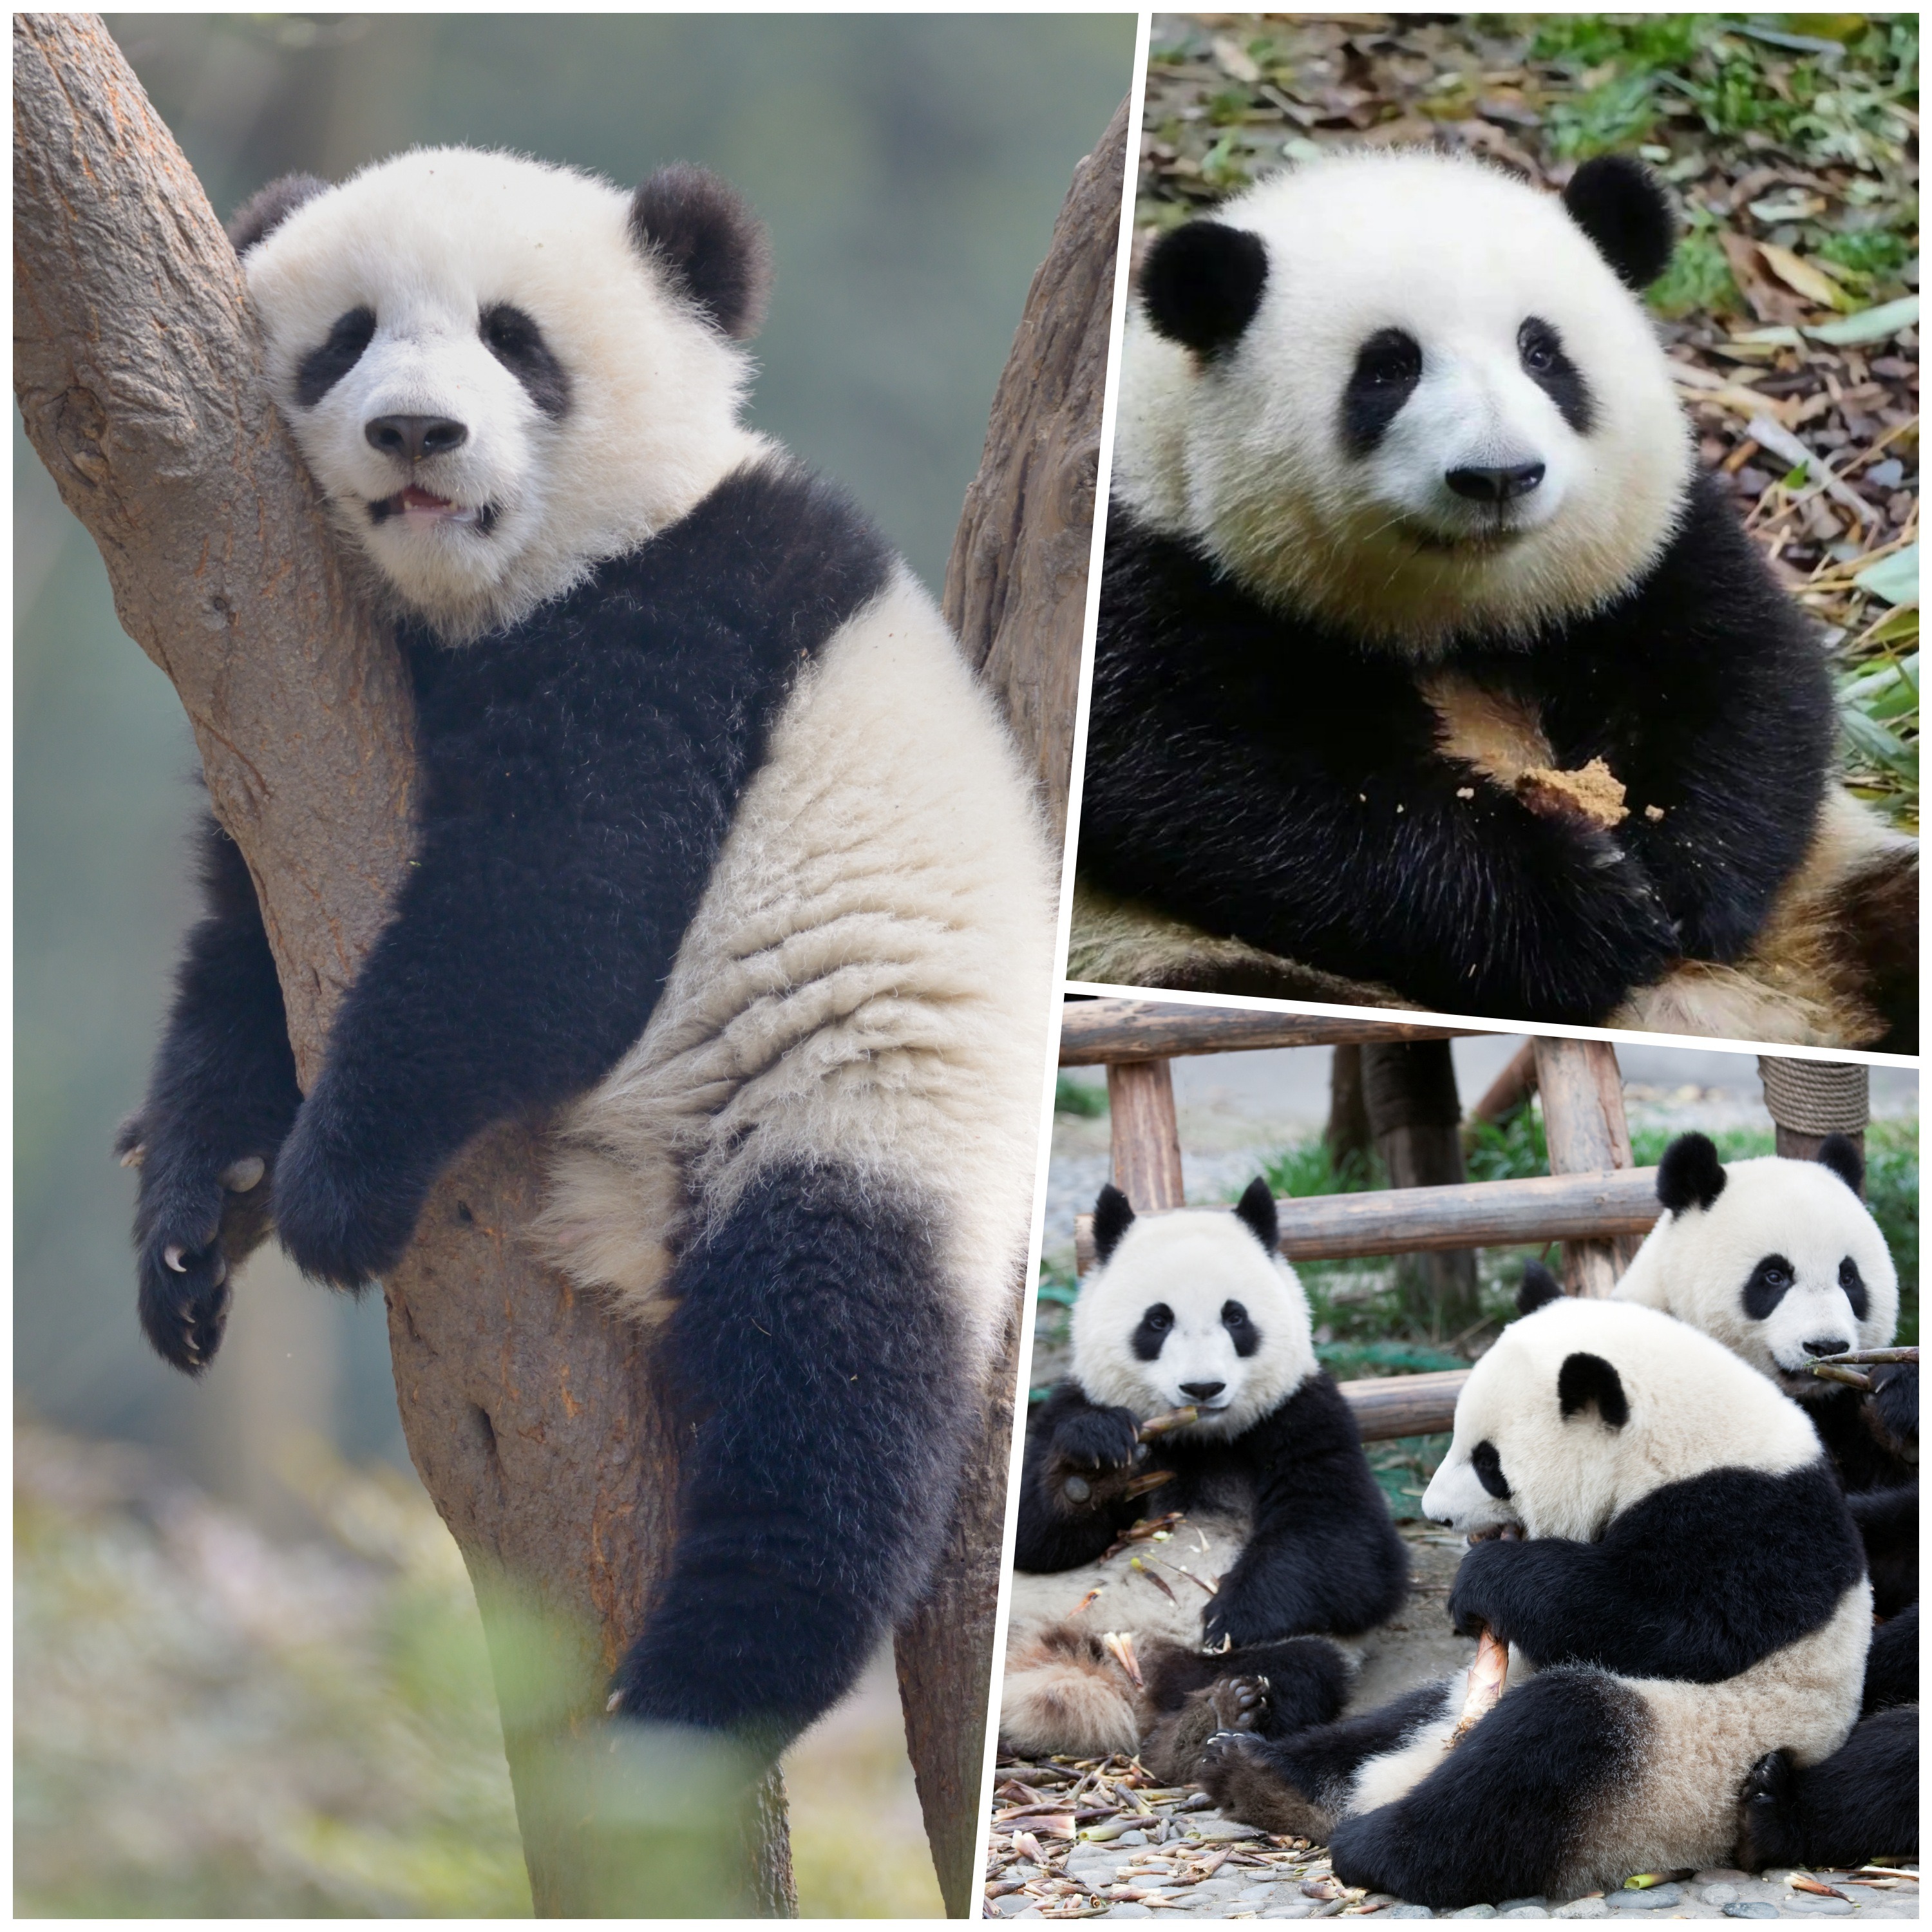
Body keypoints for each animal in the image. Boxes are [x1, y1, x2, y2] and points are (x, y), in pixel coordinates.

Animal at [117, 147, 1057, 1754]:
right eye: (348, 338)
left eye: (516, 341)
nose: (415, 430)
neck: (487, 600)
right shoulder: (286, 716)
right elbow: (245, 952)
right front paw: (196, 1214)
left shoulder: (686, 622)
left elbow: (553, 922)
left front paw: (332, 1186)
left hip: (864, 1114)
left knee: (835, 1382)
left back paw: (696, 1704)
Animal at [1000, 1181, 1406, 1774]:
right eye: (1157, 1321)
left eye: (1235, 1317)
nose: (1202, 1388)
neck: (1199, 1439)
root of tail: (1099, 1665)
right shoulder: (1072, 1404)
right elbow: (1033, 1537)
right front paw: (1087, 1473)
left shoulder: (1302, 1415)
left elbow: (1354, 1551)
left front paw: (1231, 1615)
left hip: (1235, 1654)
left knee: (1296, 1667)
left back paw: (1209, 1722)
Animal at [1077, 148, 1914, 1043]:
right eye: (1389, 367)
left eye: (1542, 354)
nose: (1499, 475)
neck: (1461, 614)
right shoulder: (1165, 568)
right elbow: (1221, 783)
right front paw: (1578, 911)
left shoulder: (1654, 548)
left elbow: (1747, 676)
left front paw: (1678, 877)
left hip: (1830, 893)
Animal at [1195, 1296, 1876, 1907]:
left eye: (1488, 1462)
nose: (1435, 1515)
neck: (1684, 1439)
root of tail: (1403, 1777)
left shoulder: (1750, 1518)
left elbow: (1682, 1627)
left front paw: (1483, 1581)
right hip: (1462, 1705)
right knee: (1384, 1725)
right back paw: (1249, 1764)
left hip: (1687, 1772)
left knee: (1547, 1747)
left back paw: (1372, 1844)